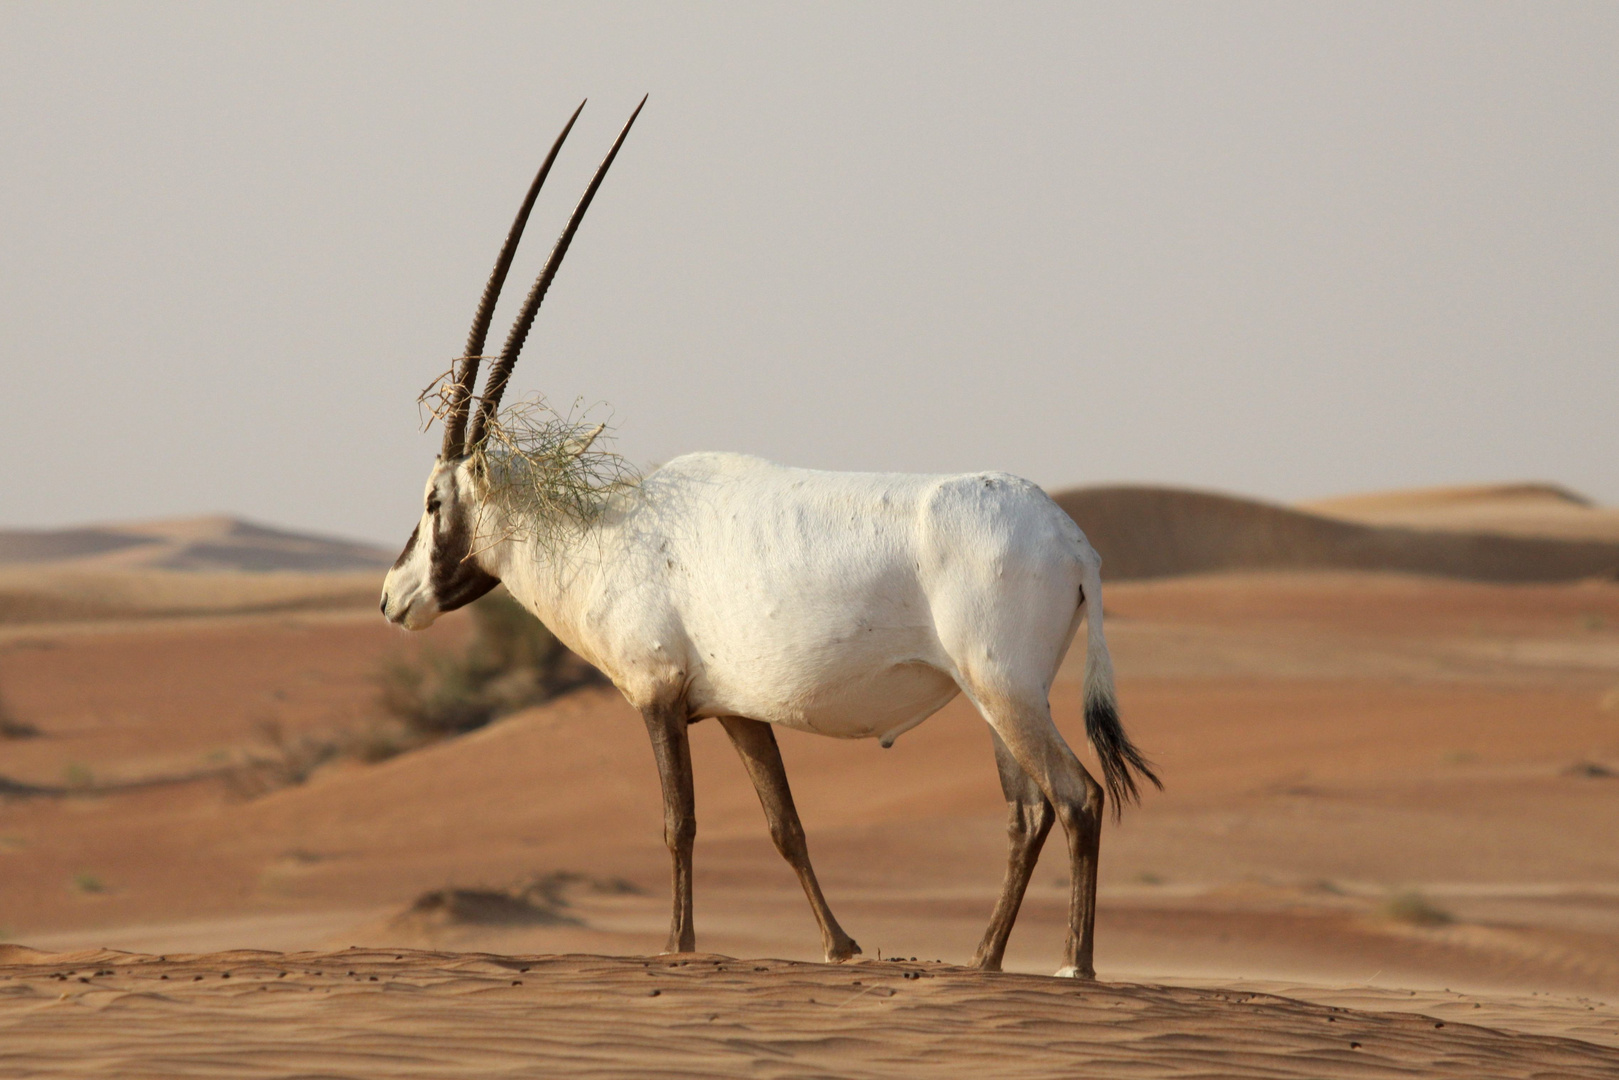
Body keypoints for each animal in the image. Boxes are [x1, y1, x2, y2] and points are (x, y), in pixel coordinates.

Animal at [378, 103, 1165, 977]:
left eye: (431, 500)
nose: (391, 597)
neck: (597, 535)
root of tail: (1073, 543)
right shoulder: (736, 712)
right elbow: (784, 826)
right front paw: (841, 947)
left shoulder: (657, 696)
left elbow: (678, 824)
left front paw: (679, 947)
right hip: (993, 697)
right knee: (1028, 811)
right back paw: (985, 959)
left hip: (1005, 690)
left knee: (1077, 796)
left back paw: (1074, 965)